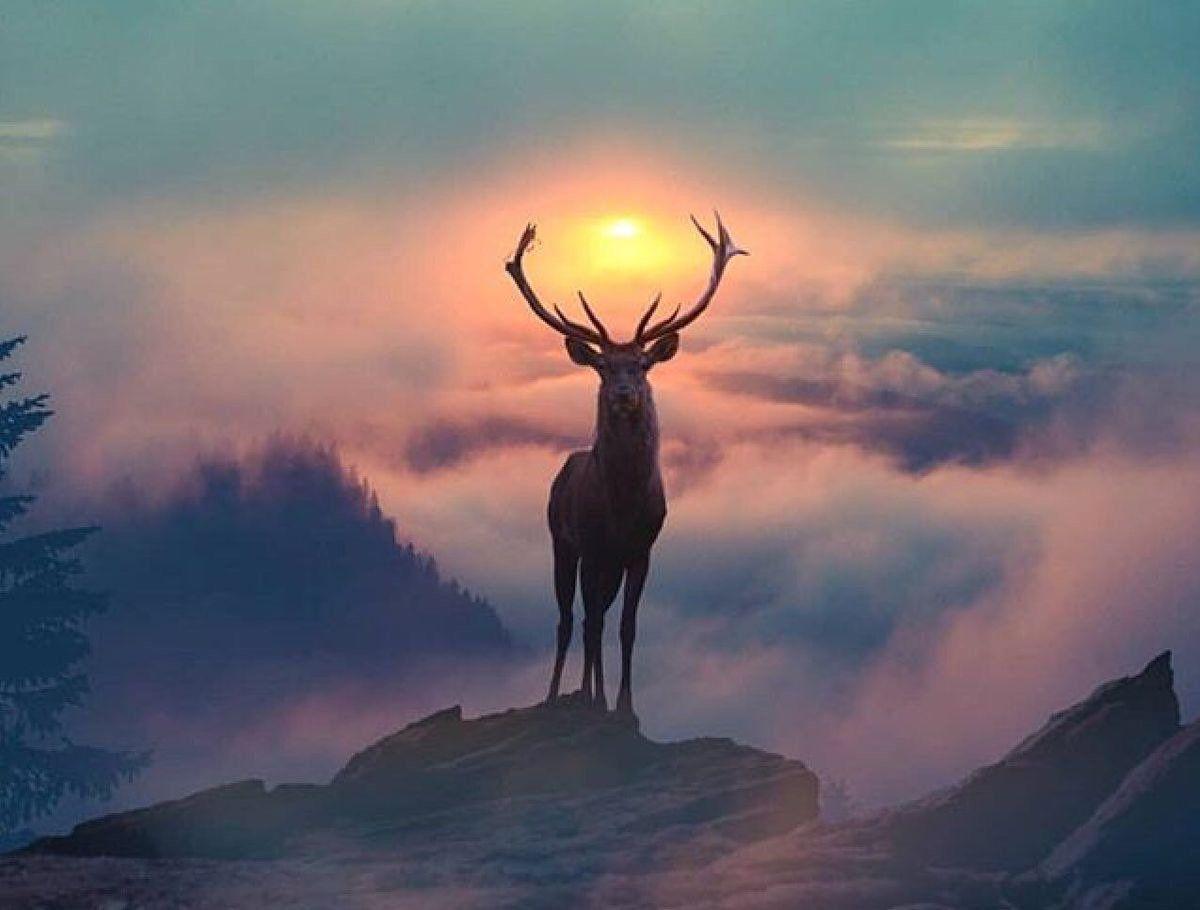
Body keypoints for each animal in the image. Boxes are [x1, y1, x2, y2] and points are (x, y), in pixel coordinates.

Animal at [504, 213, 746, 717]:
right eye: (603, 367)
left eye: (642, 364)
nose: (624, 395)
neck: (623, 505)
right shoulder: (593, 545)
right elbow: (593, 624)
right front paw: (594, 699)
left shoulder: (641, 549)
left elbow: (627, 627)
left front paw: (625, 705)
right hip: (561, 542)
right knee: (569, 619)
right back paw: (559, 694)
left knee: (594, 617)